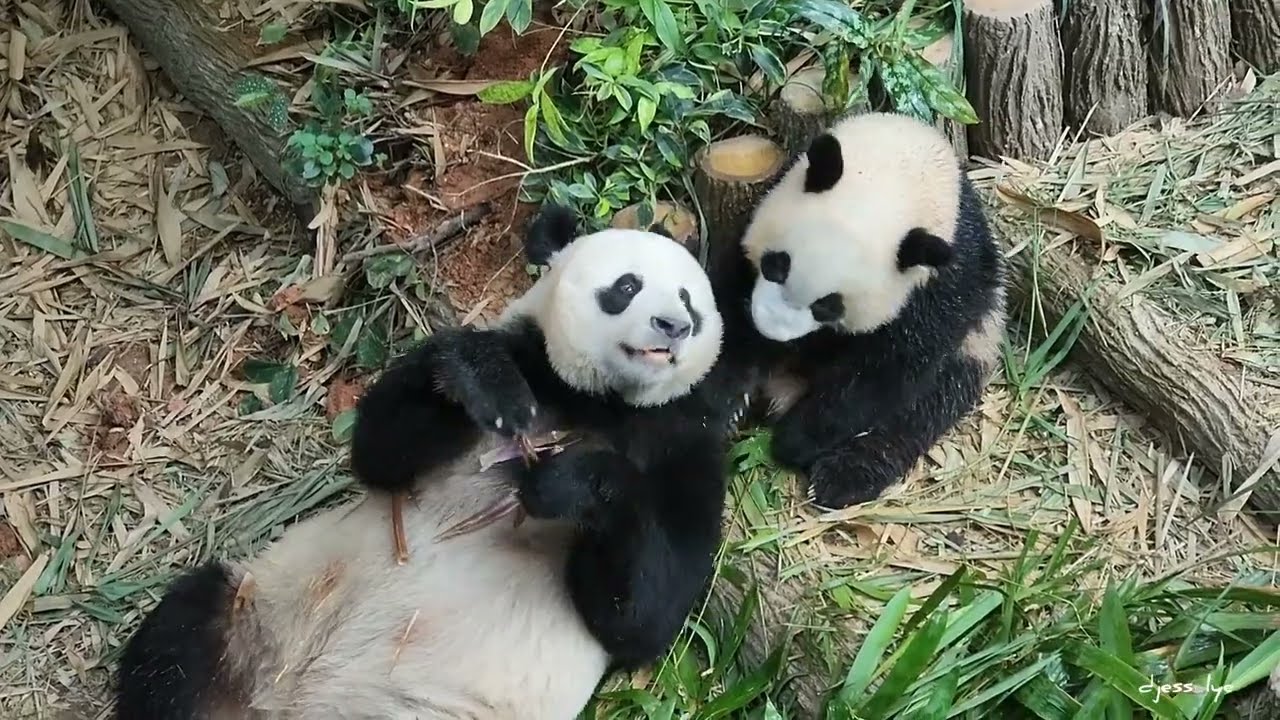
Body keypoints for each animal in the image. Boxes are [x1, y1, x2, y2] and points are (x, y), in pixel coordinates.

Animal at [113, 208, 735, 720]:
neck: (595, 401)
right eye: (627, 286)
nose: (673, 327)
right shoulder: (529, 359)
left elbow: (641, 615)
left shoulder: (685, 441)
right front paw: (484, 382)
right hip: (258, 615)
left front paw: (569, 483)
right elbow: (381, 451)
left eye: (690, 302)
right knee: (178, 645)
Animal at [710, 110, 1007, 510]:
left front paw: (795, 440)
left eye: (828, 305)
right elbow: (729, 300)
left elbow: (886, 370)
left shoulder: (939, 285)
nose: (770, 329)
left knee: (920, 411)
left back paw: (843, 477)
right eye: (777, 265)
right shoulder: (767, 202)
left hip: (976, 343)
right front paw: (725, 401)